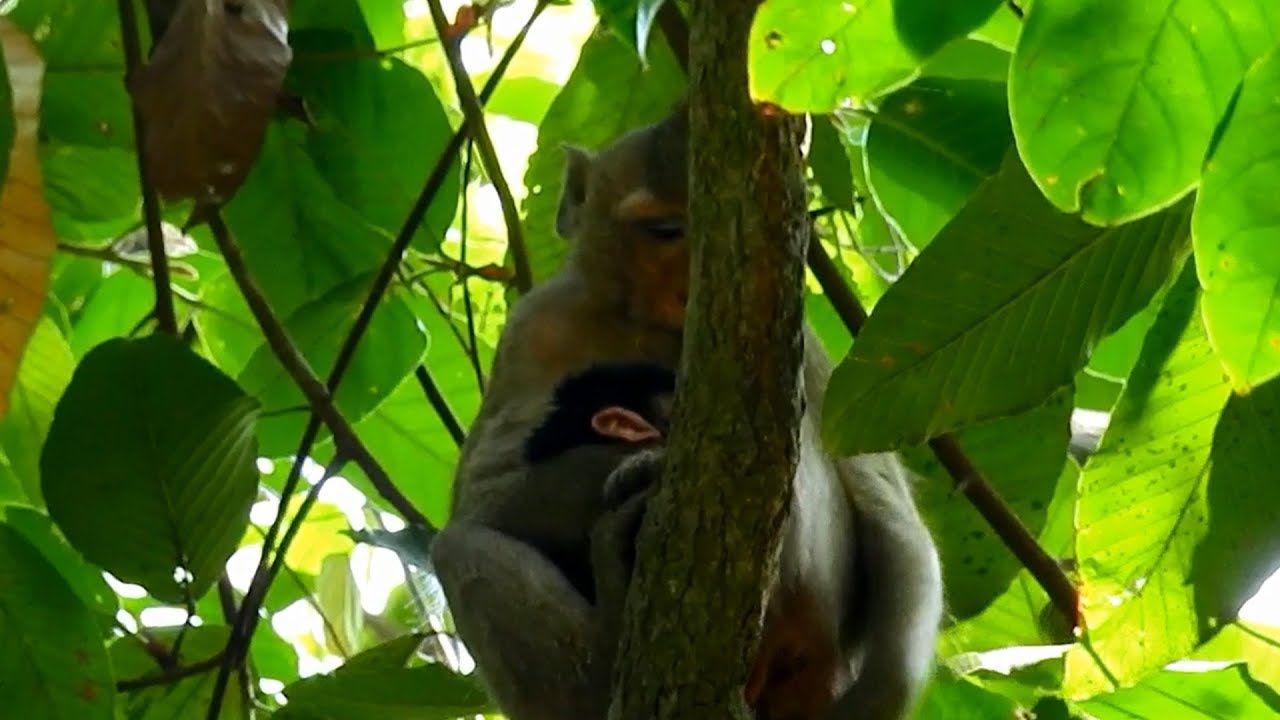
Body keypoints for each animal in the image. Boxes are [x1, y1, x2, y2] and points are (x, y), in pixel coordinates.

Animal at [429, 104, 944, 720]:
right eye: (666, 232)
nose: (695, 277)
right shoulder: (536, 324)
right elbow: (483, 492)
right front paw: (620, 464)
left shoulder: (807, 346)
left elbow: (884, 504)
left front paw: (886, 686)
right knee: (460, 547)